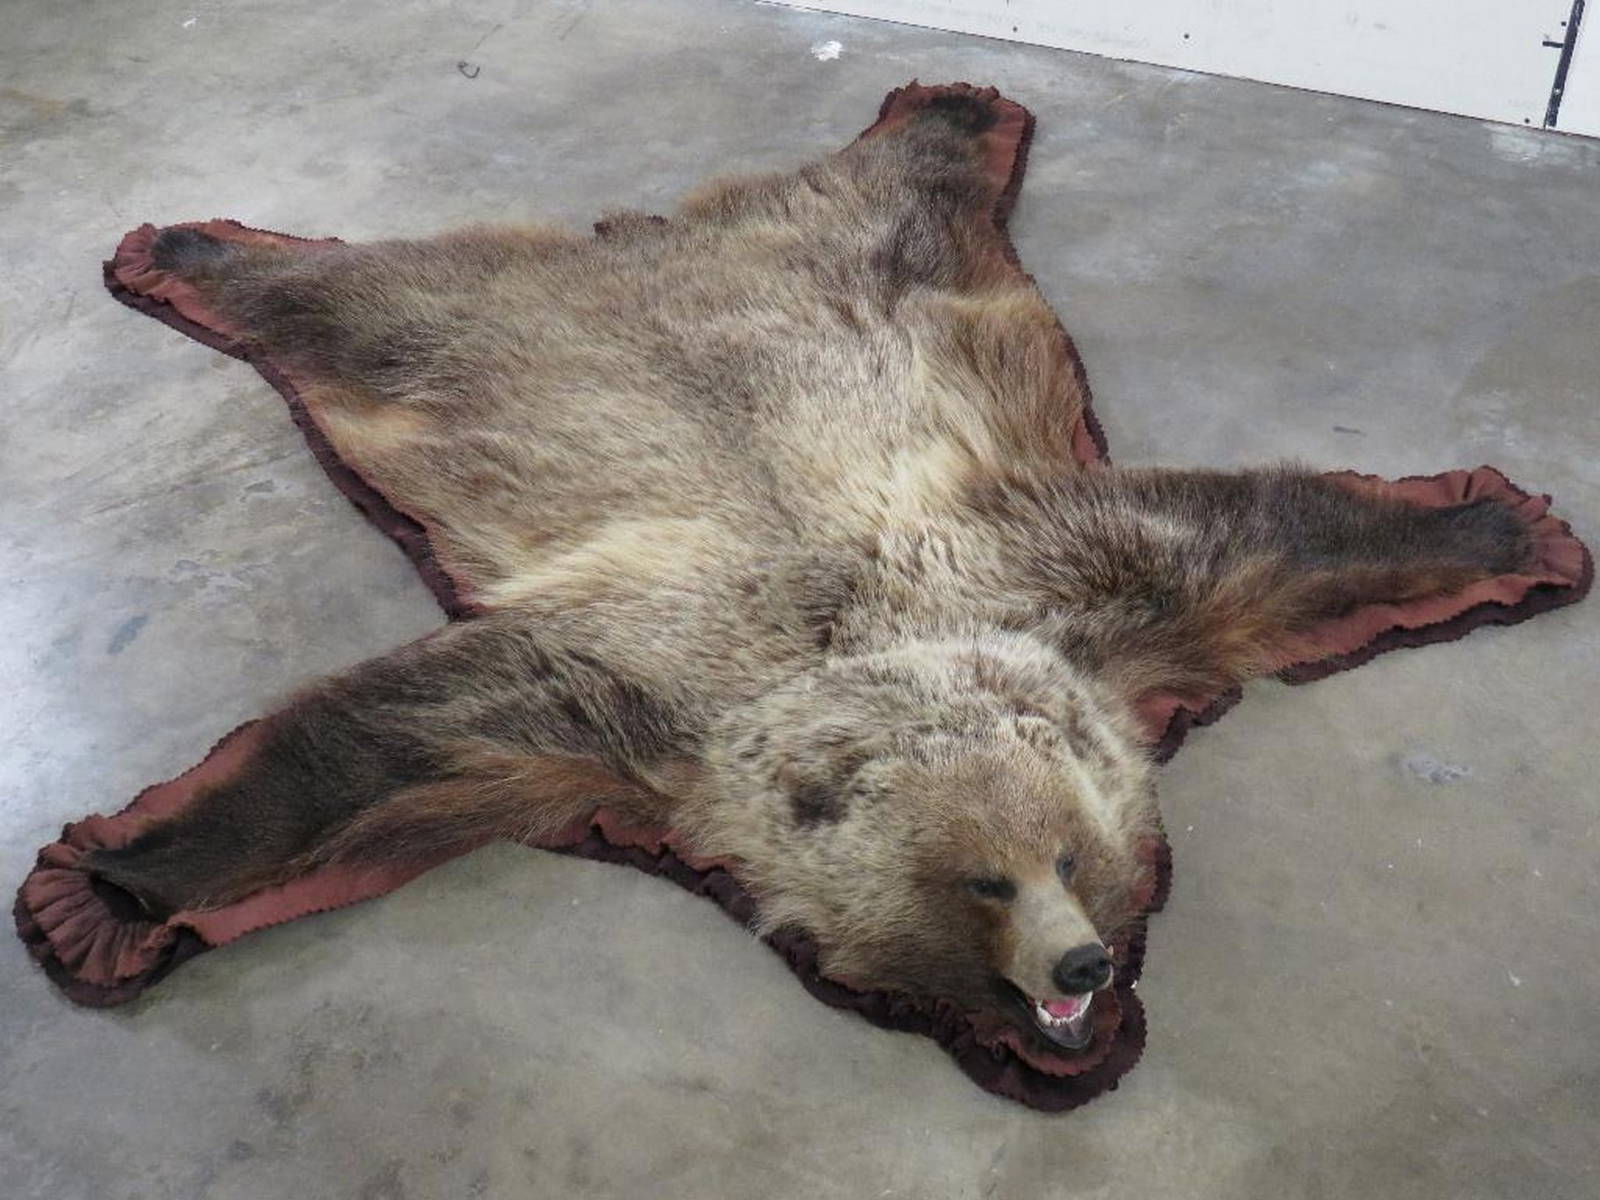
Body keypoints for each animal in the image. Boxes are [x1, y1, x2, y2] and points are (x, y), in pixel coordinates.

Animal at [80, 86, 1532, 1057]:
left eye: (1072, 852)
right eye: (983, 881)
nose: (1077, 969)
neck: (848, 644)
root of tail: (648, 235)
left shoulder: (1064, 576)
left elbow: (1257, 532)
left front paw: (1506, 528)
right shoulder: (627, 688)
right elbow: (380, 738)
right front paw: (109, 883)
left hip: (882, 267)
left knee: (909, 195)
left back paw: (950, 103)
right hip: (469, 343)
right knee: (354, 300)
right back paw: (188, 249)